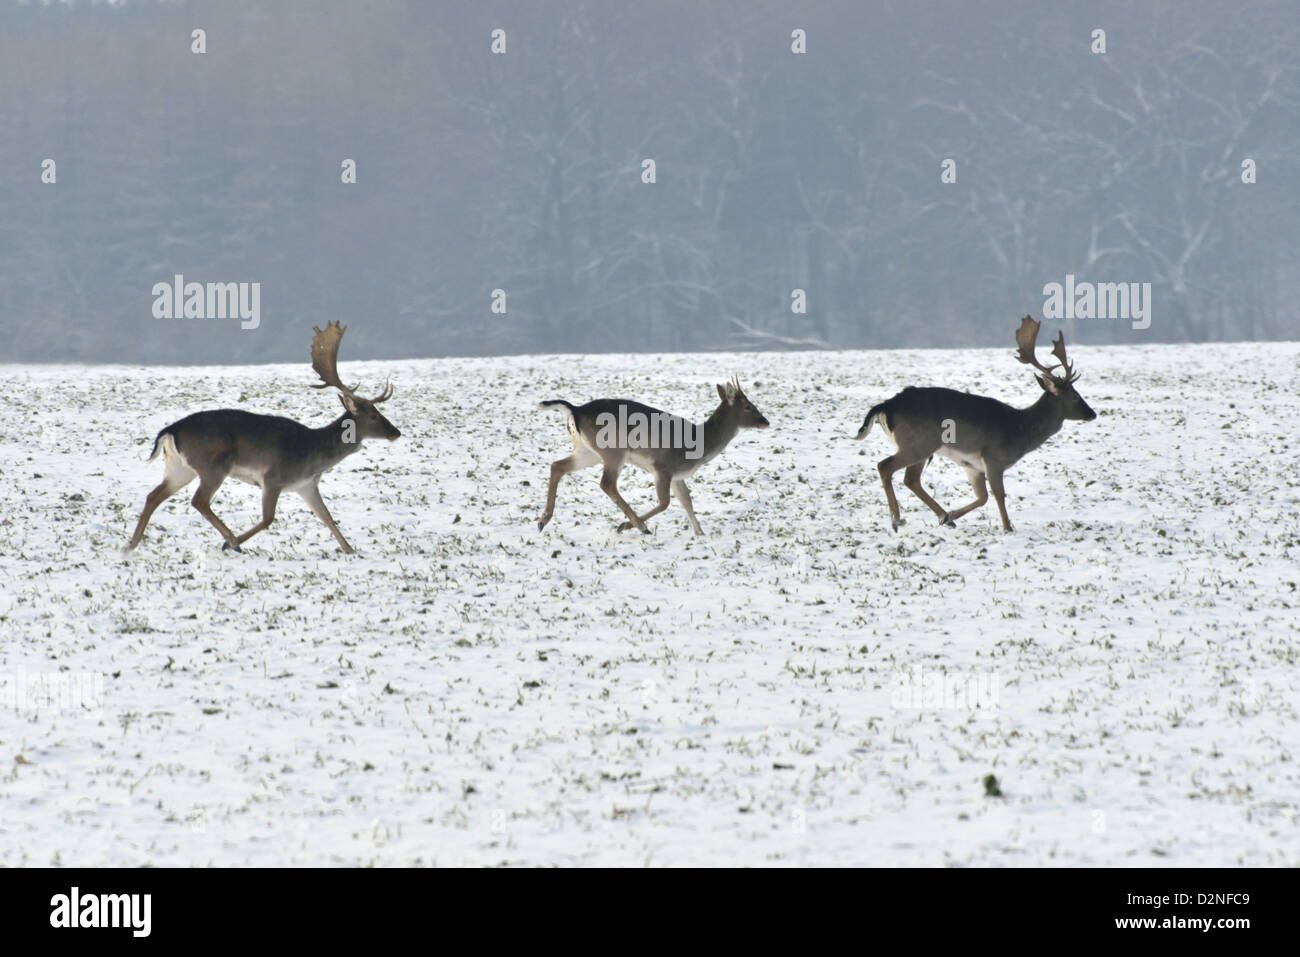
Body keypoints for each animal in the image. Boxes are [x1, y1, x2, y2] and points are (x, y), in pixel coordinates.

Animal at [124, 321, 399, 554]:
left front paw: (350, 550)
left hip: (180, 468)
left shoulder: (306, 485)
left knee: (154, 496)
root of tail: (170, 430)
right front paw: (230, 543)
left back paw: (130, 545)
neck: (314, 455)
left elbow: (327, 518)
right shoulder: (272, 477)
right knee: (198, 500)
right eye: (373, 415)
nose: (396, 432)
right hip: (213, 465)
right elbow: (268, 519)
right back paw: (232, 540)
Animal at [536, 378, 769, 536]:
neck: (699, 445)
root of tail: (574, 410)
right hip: (614, 450)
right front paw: (626, 525)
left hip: (587, 451)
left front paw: (700, 534)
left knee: (557, 465)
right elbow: (665, 503)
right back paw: (641, 526)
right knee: (607, 484)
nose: (765, 421)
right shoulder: (662, 468)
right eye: (748, 406)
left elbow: (687, 502)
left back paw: (543, 520)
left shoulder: (677, 476)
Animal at [855, 316, 1096, 532]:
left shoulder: (972, 466)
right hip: (918, 443)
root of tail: (885, 406)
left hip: (921, 448)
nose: (1092, 413)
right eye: (1075, 396)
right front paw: (1008, 528)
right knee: (885, 466)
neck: (1020, 429)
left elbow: (983, 497)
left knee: (911, 479)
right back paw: (896, 520)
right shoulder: (993, 457)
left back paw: (943, 518)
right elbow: (998, 495)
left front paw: (951, 515)